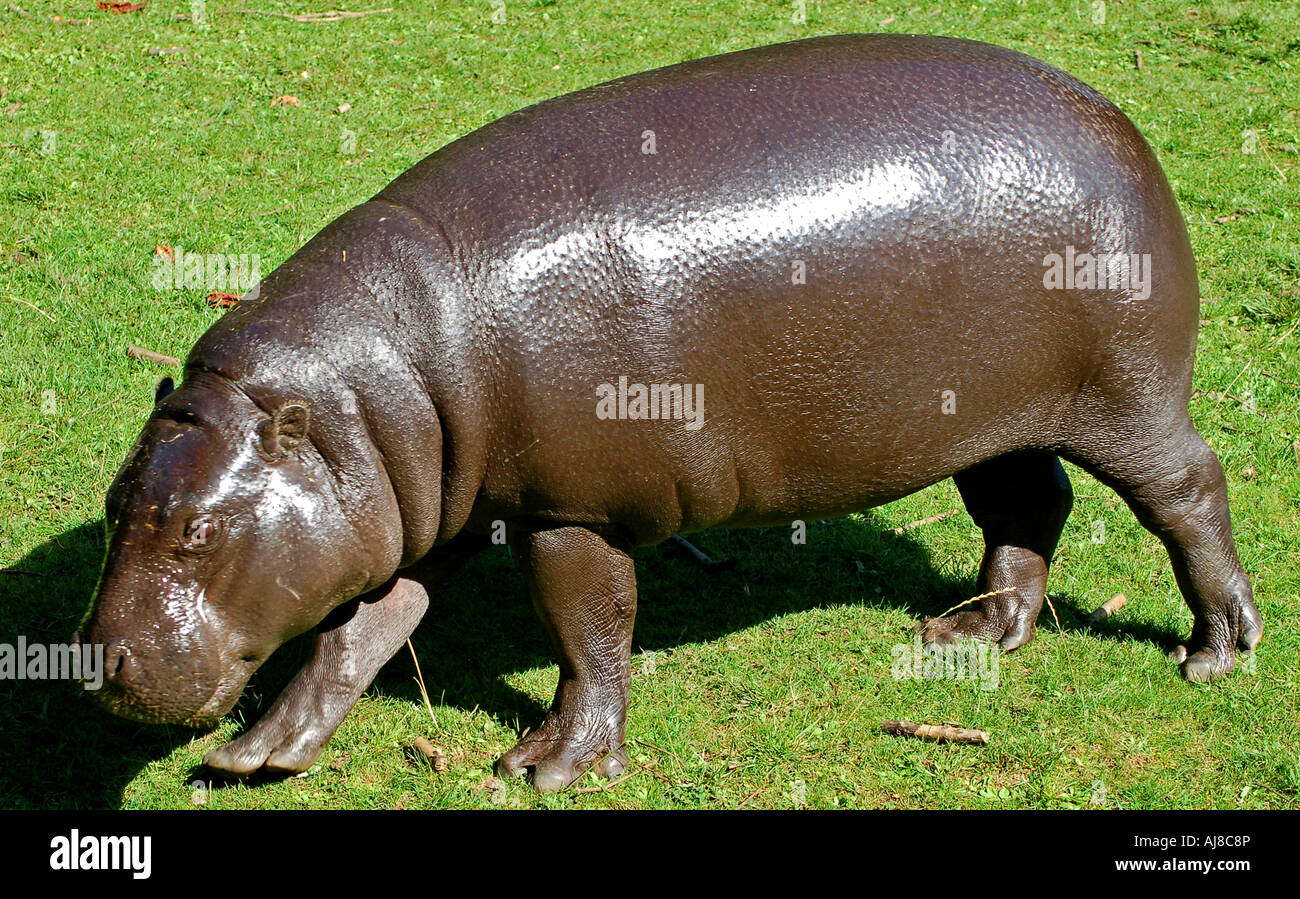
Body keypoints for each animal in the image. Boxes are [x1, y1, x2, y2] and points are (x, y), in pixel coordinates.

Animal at [82, 33, 1262, 793]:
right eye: (111, 504)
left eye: (199, 532)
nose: (94, 665)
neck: (365, 395)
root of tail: (1118, 120)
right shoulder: (422, 507)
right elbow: (356, 630)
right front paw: (252, 758)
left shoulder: (570, 508)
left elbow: (589, 630)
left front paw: (548, 766)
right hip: (985, 415)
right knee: (1029, 502)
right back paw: (972, 630)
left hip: (1126, 396)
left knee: (1188, 490)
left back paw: (1217, 652)